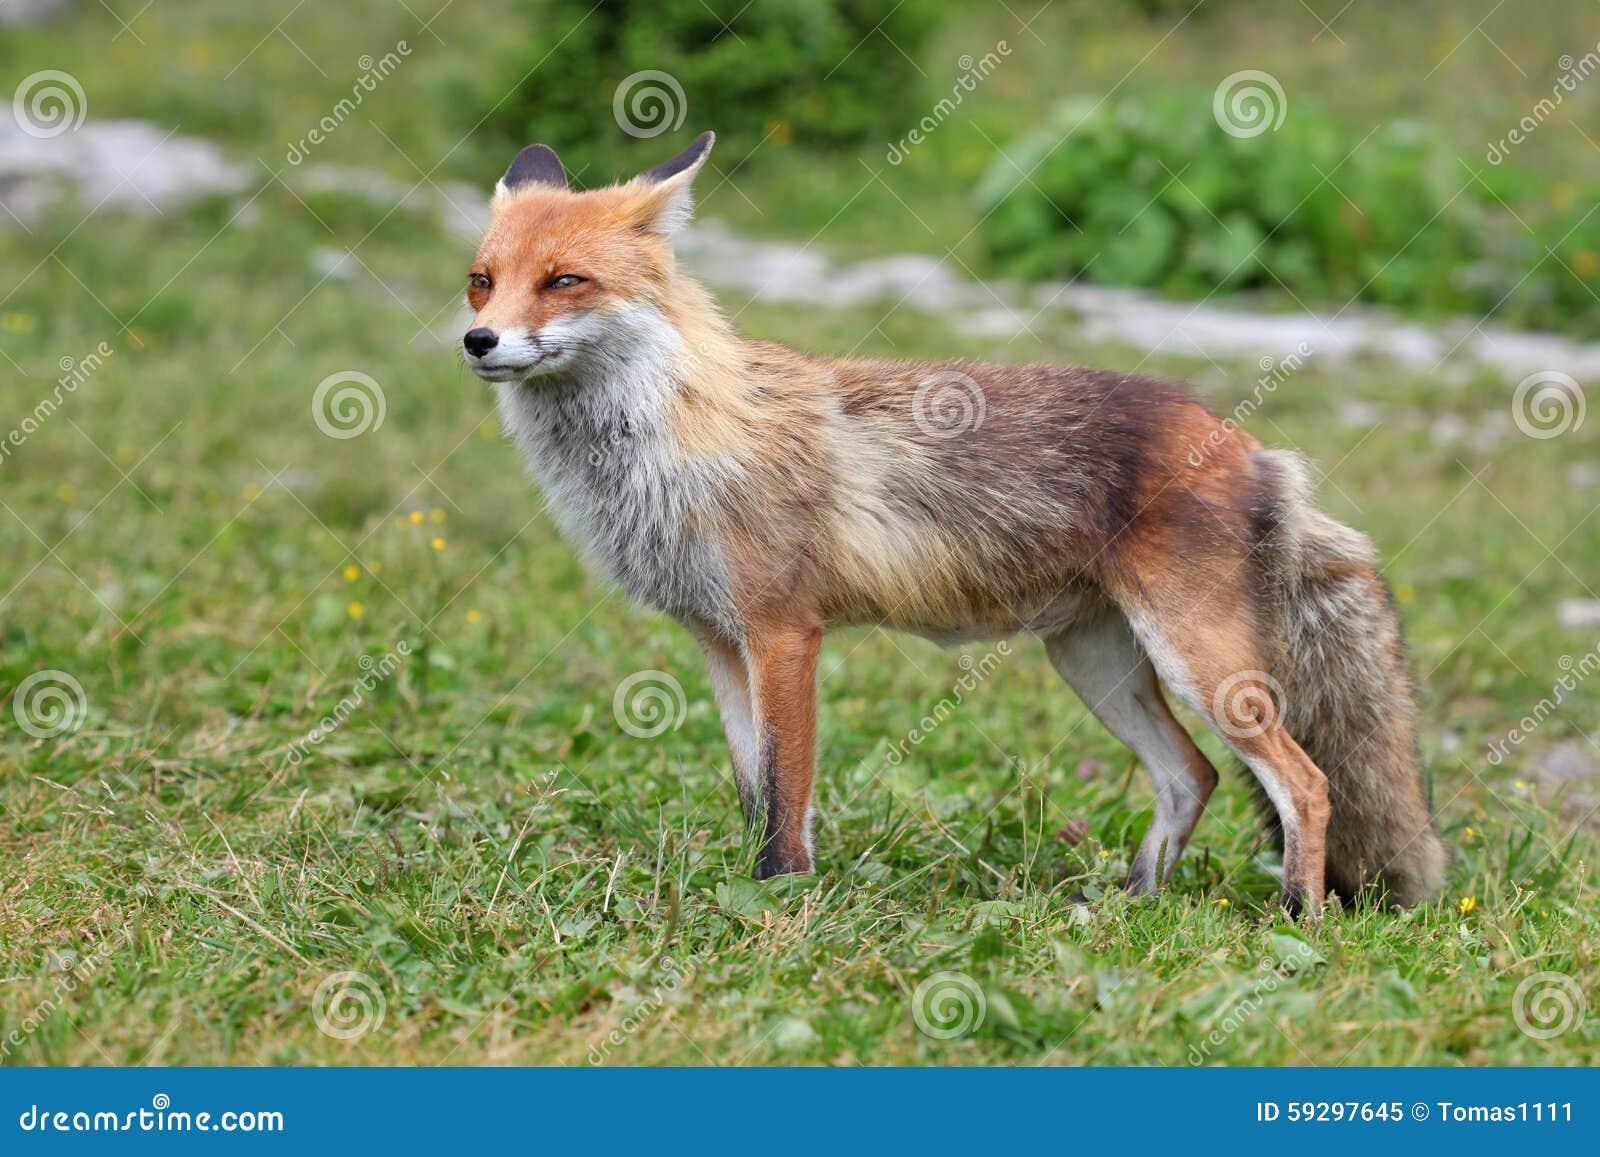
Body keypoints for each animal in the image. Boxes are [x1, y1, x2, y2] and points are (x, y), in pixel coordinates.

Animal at [462, 130, 1447, 916]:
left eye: (564, 281)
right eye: (482, 281)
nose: (478, 342)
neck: (672, 437)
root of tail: (1250, 441)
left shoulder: (785, 634)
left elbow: (787, 800)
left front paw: (781, 905)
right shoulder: (717, 639)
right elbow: (752, 793)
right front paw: (746, 891)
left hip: (1199, 662)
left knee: (1306, 782)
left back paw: (1298, 918)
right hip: (1096, 663)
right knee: (1192, 775)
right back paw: (1128, 903)